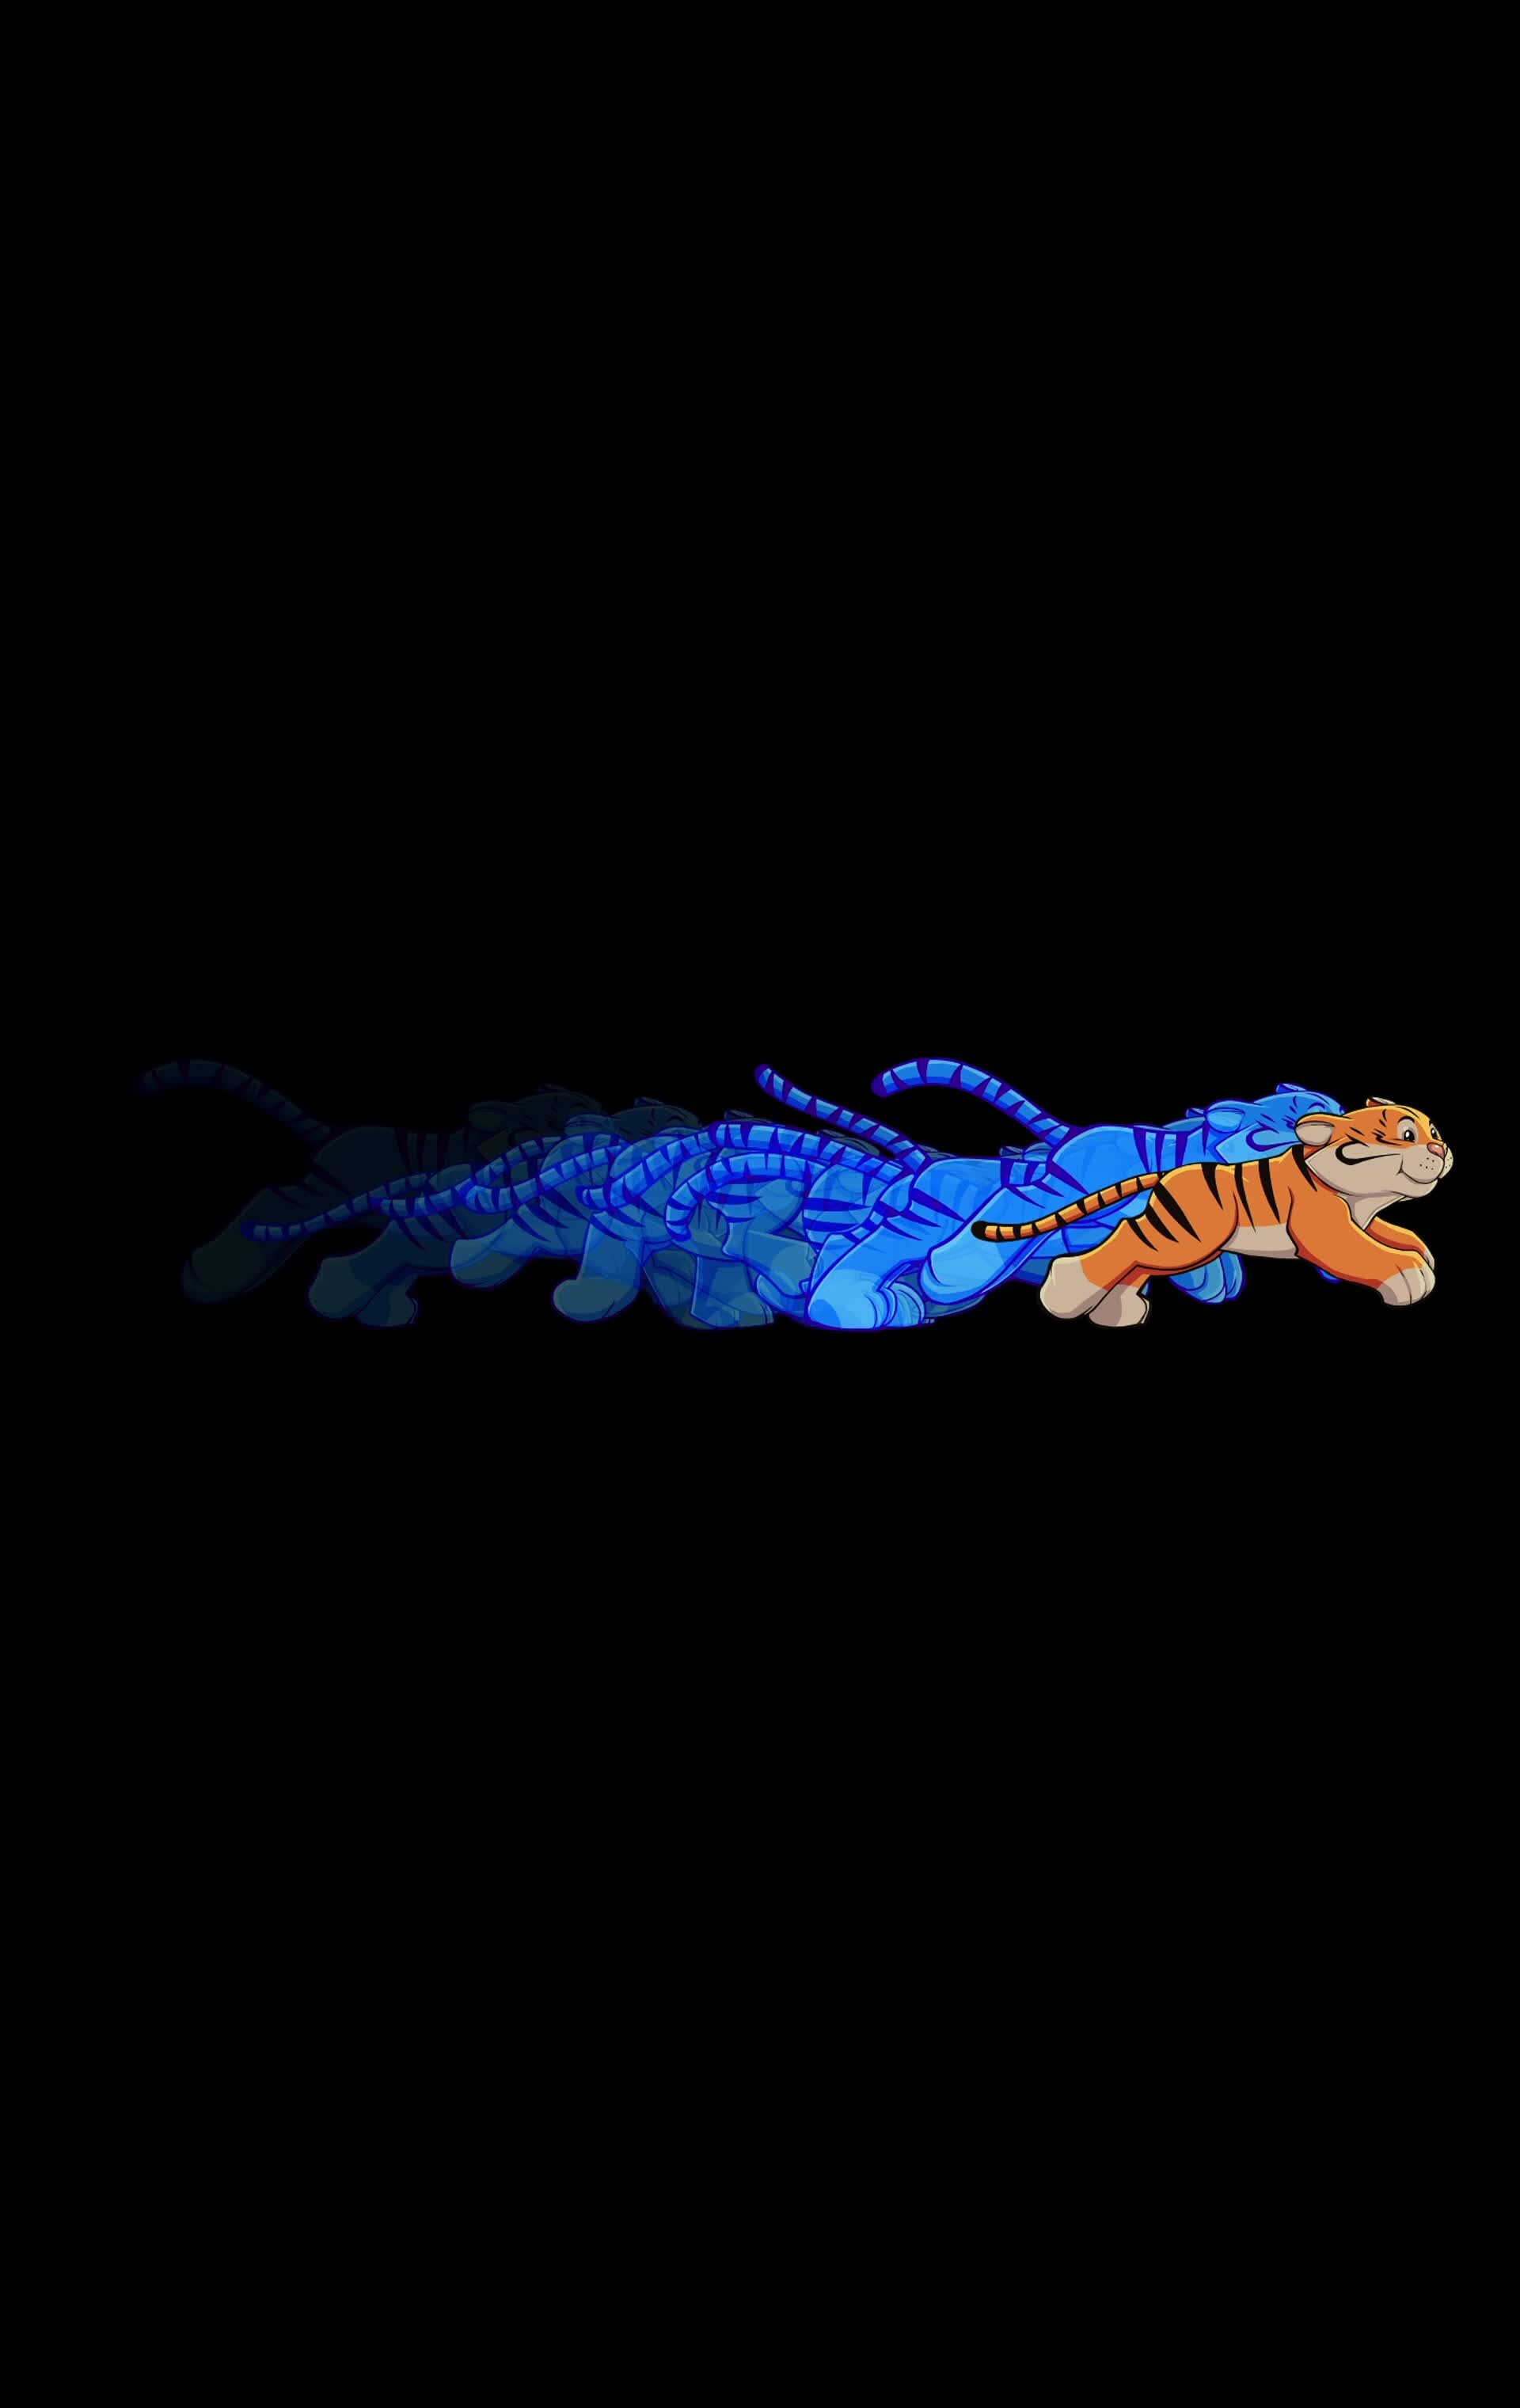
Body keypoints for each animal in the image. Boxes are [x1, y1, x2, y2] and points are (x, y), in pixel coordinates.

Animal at [971, 1099, 1451, 1328]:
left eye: (1434, 1130)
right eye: (1407, 1134)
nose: (1442, 1148)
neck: (1356, 1191)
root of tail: (1167, 1173)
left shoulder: (1364, 1221)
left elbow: (1395, 1235)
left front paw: (1423, 1255)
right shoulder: (1326, 1230)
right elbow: (1370, 1254)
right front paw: (1410, 1277)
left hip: (1182, 1245)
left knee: (1134, 1261)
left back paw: (1119, 1314)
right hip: (1184, 1239)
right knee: (1124, 1241)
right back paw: (1065, 1294)